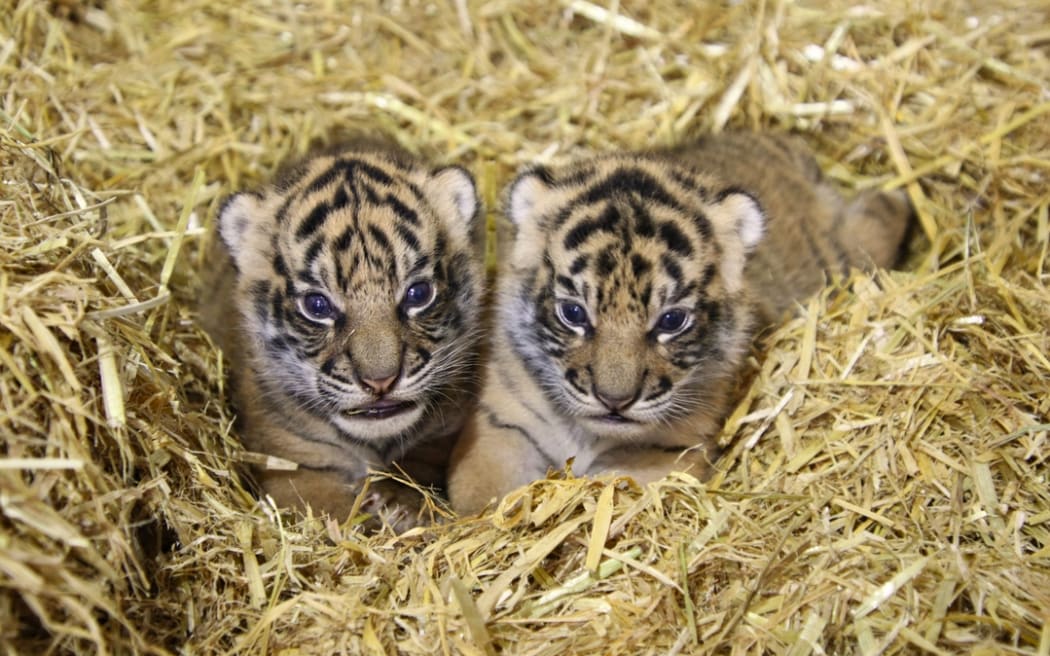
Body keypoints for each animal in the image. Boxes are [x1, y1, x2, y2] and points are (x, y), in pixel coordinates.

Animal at [200, 139, 485, 530]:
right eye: (317, 305)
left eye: (418, 294)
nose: (380, 382)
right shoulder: (286, 461)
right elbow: (319, 504)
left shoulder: (448, 428)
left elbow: (421, 460)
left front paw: (399, 501)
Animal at [447, 132, 913, 514]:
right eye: (574, 313)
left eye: (671, 320)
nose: (614, 401)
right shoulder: (500, 426)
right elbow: (479, 493)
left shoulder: (673, 450)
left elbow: (616, 483)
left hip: (840, 261)